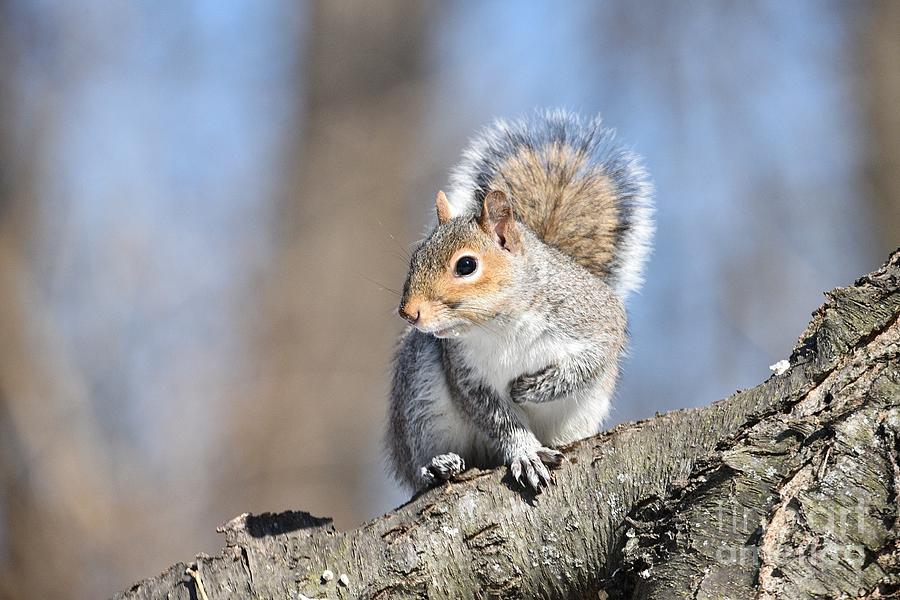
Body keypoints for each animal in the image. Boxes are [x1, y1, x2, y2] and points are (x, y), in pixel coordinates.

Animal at [386, 109, 653, 492]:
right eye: (415, 257)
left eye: (466, 265)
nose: (408, 312)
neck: (501, 323)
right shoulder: (467, 374)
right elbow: (499, 420)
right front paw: (525, 453)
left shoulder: (597, 320)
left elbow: (589, 363)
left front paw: (531, 389)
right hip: (420, 402)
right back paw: (436, 466)